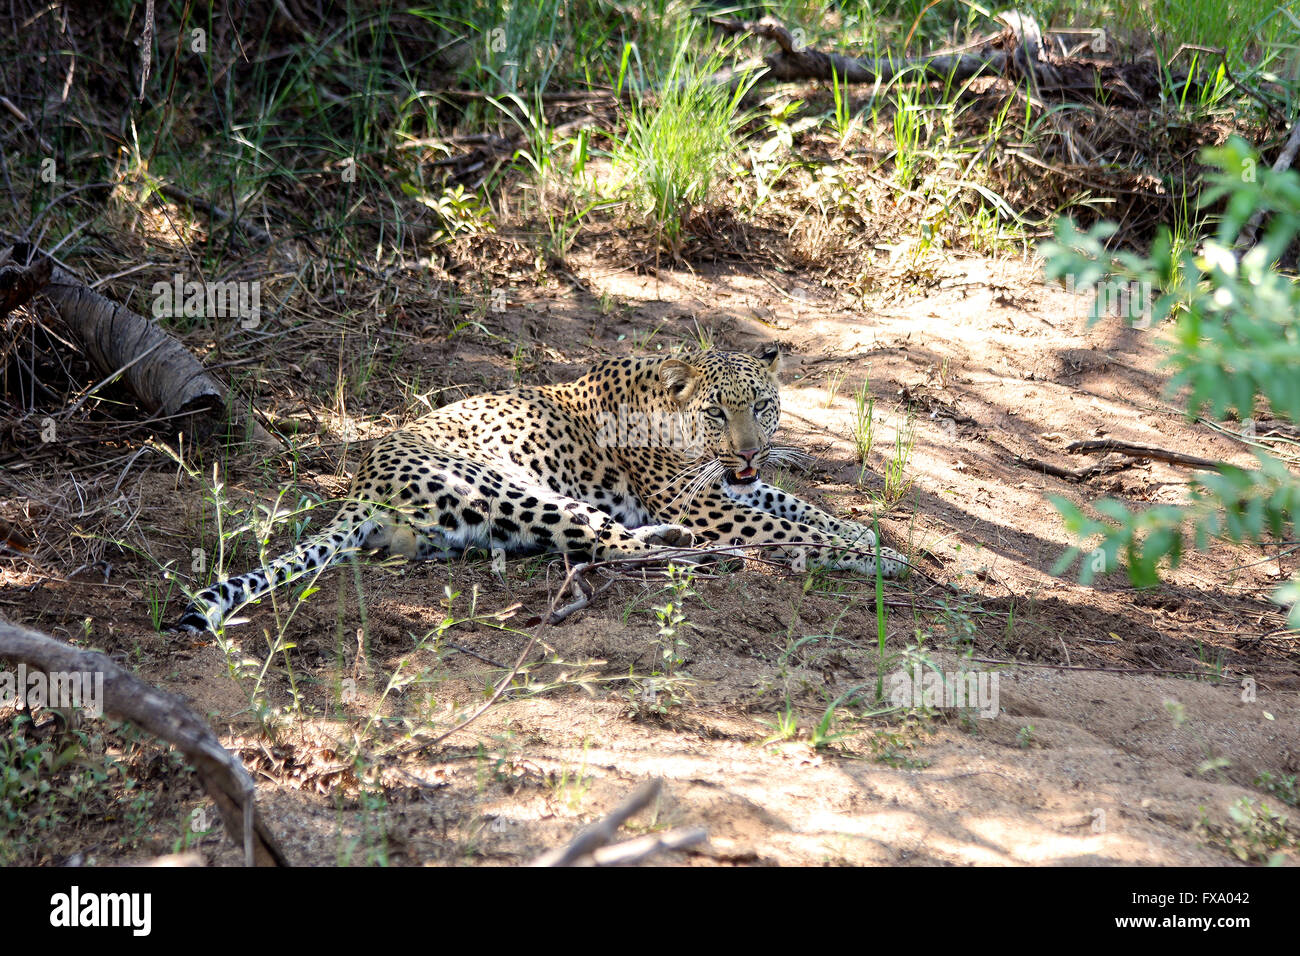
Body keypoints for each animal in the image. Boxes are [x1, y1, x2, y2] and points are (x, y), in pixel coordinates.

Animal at [172, 345, 906, 632]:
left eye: (761, 405)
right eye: (715, 413)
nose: (749, 449)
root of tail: (360, 484)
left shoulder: (728, 490)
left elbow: (797, 505)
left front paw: (862, 532)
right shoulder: (703, 499)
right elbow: (789, 526)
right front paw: (874, 554)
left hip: (486, 521)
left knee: (588, 540)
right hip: (509, 484)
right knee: (612, 543)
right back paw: (694, 551)